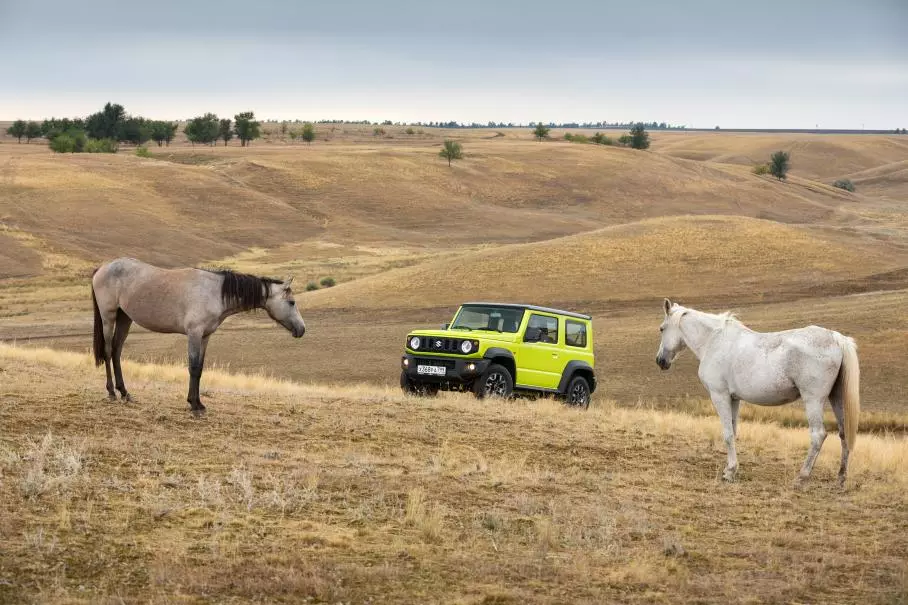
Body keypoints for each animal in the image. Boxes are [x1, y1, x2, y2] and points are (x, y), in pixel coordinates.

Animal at [91, 258, 306, 412]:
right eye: (292, 302)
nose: (302, 329)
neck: (214, 292)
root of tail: (102, 268)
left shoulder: (205, 336)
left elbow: (200, 368)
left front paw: (198, 403)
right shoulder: (194, 334)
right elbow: (193, 367)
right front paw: (194, 406)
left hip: (125, 318)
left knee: (117, 351)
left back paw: (124, 392)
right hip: (109, 317)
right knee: (109, 351)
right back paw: (111, 392)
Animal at [652, 298, 860, 486]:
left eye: (662, 328)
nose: (660, 361)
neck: (714, 341)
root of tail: (836, 338)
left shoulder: (720, 396)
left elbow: (727, 434)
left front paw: (729, 473)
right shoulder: (734, 399)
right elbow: (733, 431)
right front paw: (731, 469)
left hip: (813, 400)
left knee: (818, 435)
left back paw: (802, 477)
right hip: (836, 398)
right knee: (843, 433)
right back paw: (841, 478)